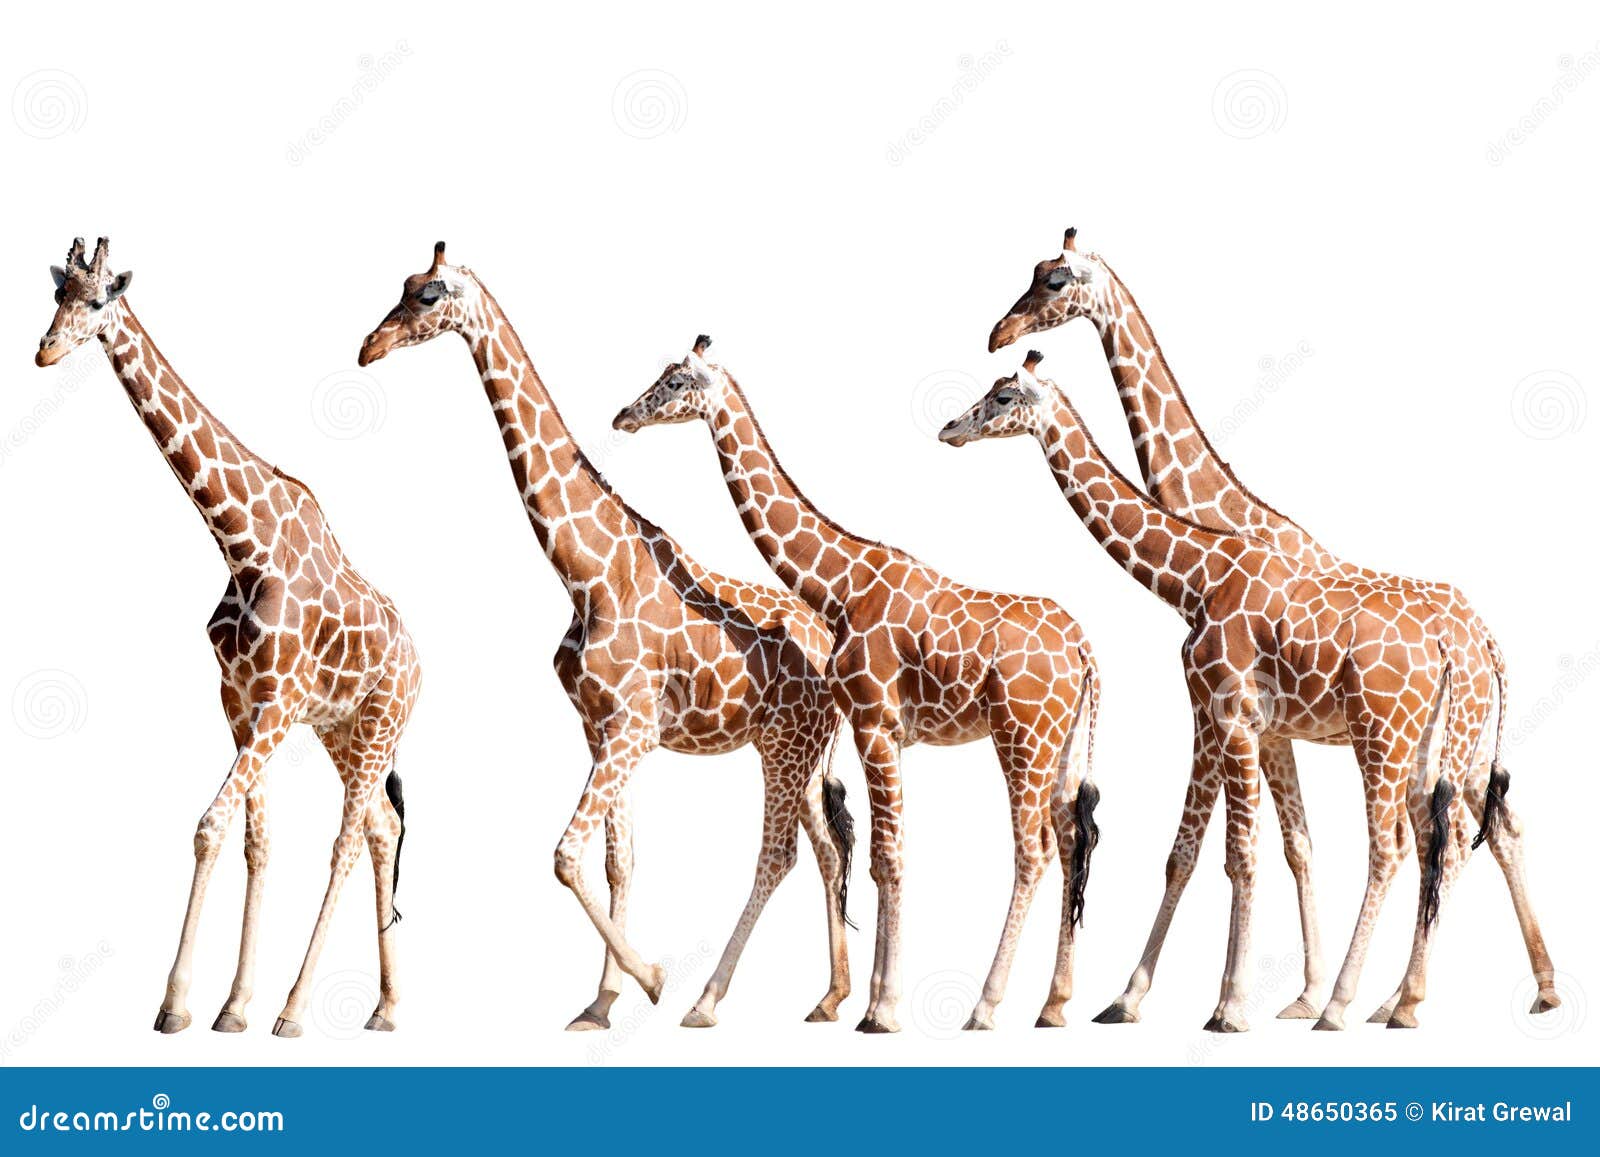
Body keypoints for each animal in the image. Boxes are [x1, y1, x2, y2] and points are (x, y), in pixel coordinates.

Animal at [34, 237, 419, 1038]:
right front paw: (231, 1004)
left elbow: (210, 825)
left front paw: (178, 1003)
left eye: (98, 300)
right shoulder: (240, 702)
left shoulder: (275, 704)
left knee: (347, 840)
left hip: (378, 724)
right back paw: (386, 1007)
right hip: (343, 730)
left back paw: (298, 1010)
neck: (243, 545)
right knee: (382, 826)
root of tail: (420, 661)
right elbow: (254, 839)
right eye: (55, 297)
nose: (45, 352)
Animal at [356, 245, 855, 1029]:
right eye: (403, 286)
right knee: (828, 849)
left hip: (786, 747)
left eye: (429, 295)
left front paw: (649, 978)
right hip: (796, 750)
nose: (368, 347)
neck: (585, 571)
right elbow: (618, 858)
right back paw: (829, 996)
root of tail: (830, 644)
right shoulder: (599, 729)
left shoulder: (633, 729)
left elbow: (564, 854)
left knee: (779, 856)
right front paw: (599, 1003)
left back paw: (707, 1001)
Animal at [612, 337, 1102, 1032]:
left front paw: (882, 1009)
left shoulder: (875, 721)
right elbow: (879, 853)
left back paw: (984, 1008)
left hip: (1022, 737)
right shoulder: (887, 732)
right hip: (1061, 745)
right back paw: (1054, 1006)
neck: (839, 584)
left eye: (677, 381)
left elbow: (887, 855)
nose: (624, 414)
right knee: (1068, 841)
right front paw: (869, 999)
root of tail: (1085, 651)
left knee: (1031, 850)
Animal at [988, 229, 1559, 1023]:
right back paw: (1512, 990)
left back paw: (1384, 1000)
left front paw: (1223, 999)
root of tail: (1486, 638)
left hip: (1421, 741)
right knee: (1489, 831)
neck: (1219, 525)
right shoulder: (1275, 728)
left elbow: (1244, 847)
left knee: (1436, 841)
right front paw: (1300, 991)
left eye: (1054, 280)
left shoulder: (1241, 714)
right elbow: (1297, 845)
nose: (997, 333)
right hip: (1462, 745)